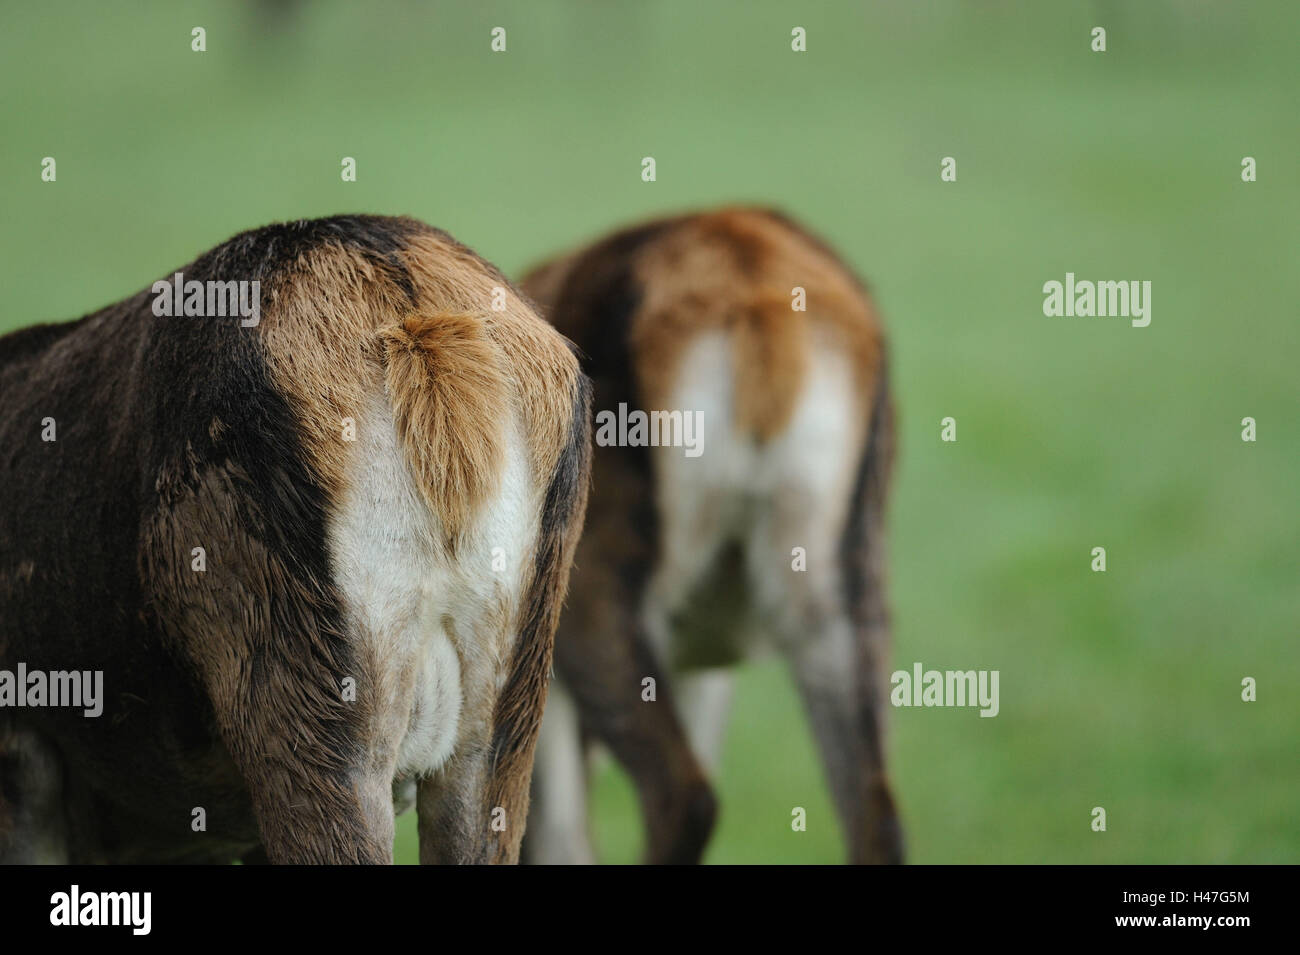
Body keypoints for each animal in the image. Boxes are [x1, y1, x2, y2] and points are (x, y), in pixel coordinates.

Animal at [519, 207, 902, 864]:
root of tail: (751, 284)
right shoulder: (702, 668)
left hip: (591, 597)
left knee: (682, 795)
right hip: (837, 594)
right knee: (878, 813)